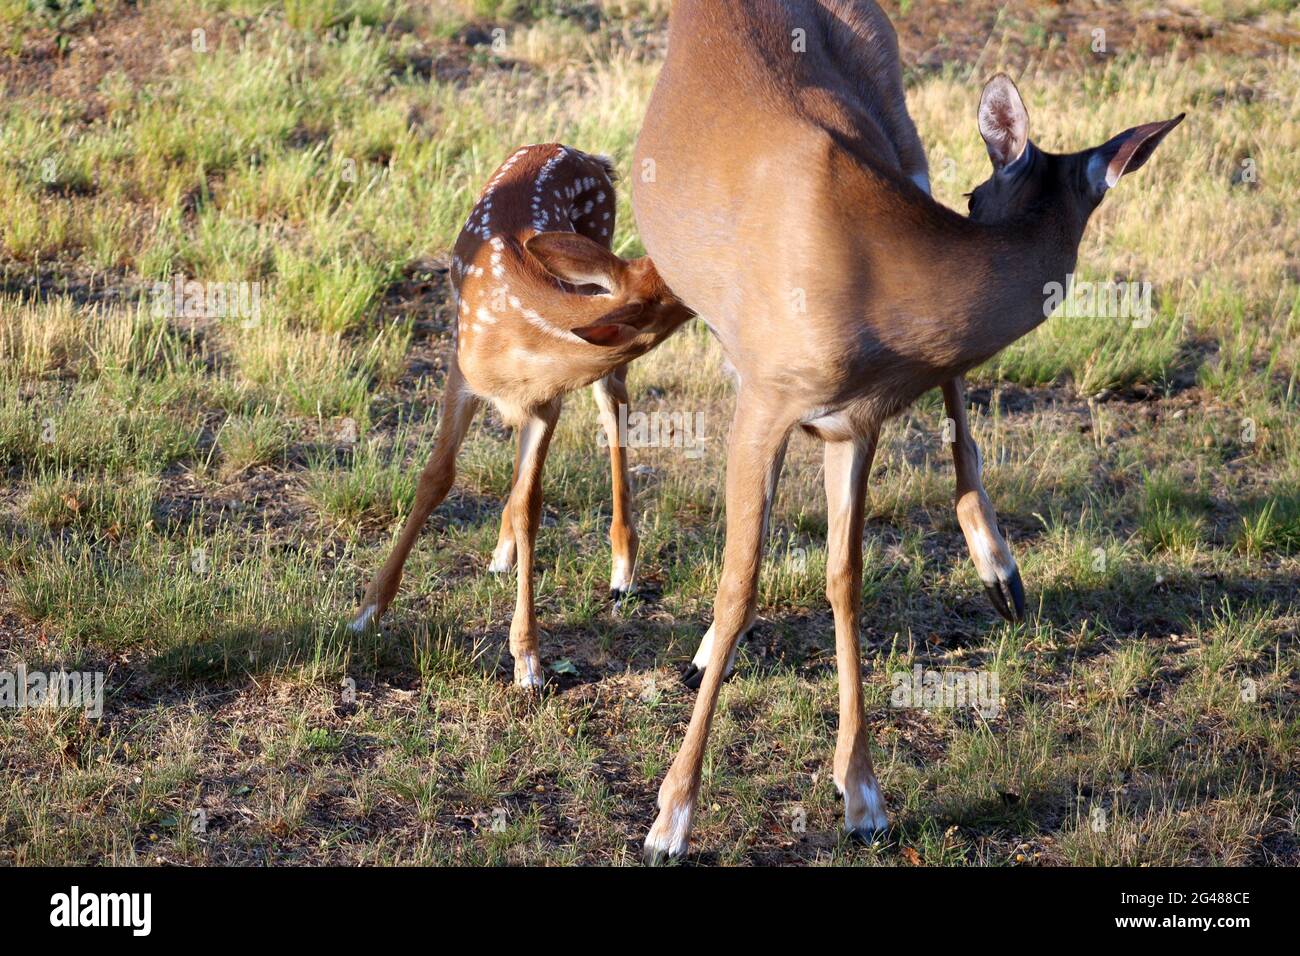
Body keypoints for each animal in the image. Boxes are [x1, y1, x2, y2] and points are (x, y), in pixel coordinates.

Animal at [350, 143, 693, 690]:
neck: (524, 335)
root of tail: (580, 152)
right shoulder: (460, 373)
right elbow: (435, 478)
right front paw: (366, 613)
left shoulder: (548, 404)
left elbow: (531, 506)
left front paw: (527, 660)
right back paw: (502, 554)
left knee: (612, 404)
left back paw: (621, 570)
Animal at [631, 0, 1183, 862]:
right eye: (976, 195)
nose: (967, 204)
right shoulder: (767, 403)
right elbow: (739, 585)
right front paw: (671, 818)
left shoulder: (853, 425)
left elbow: (843, 579)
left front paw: (861, 795)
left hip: (905, 136)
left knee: (954, 401)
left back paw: (1000, 572)